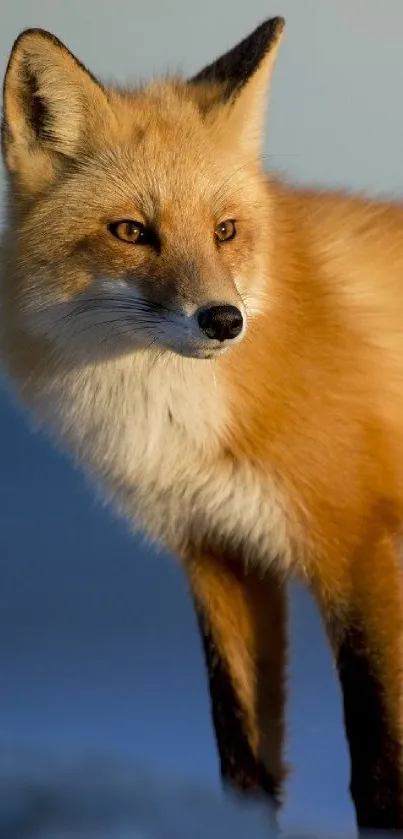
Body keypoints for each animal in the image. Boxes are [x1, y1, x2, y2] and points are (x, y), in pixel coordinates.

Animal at [2, 12, 403, 833]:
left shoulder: (357, 544)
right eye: (131, 231)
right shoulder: (220, 551)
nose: (223, 320)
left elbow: (379, 768)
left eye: (224, 230)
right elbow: (242, 760)